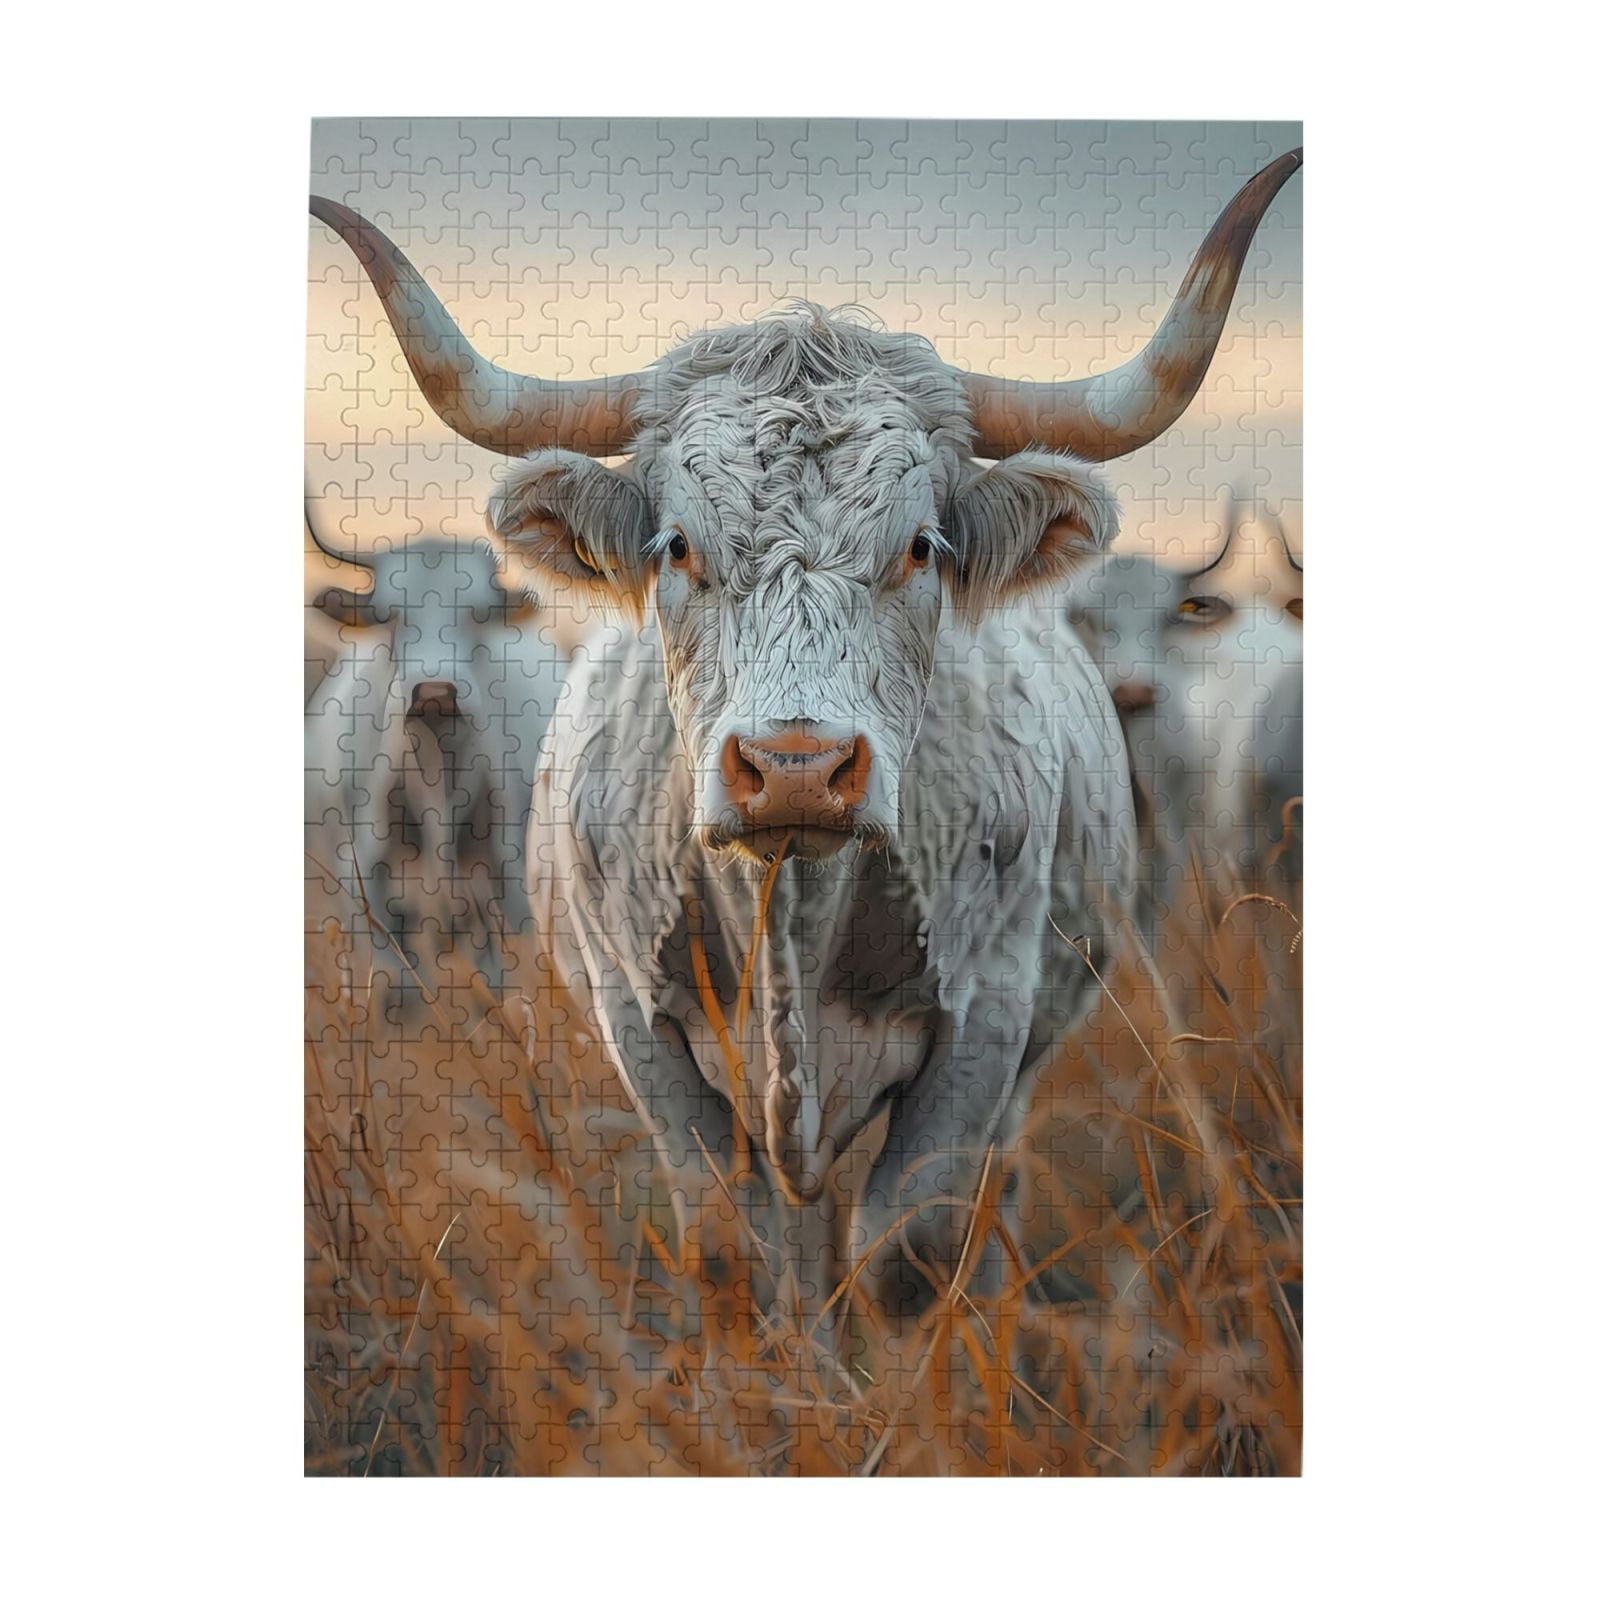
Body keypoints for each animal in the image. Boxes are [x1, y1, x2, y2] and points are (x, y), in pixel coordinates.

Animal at [304, 515, 565, 1005]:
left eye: (480, 614)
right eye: (388, 615)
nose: (435, 693)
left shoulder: (506, 873)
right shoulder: (364, 874)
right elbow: (400, 985)